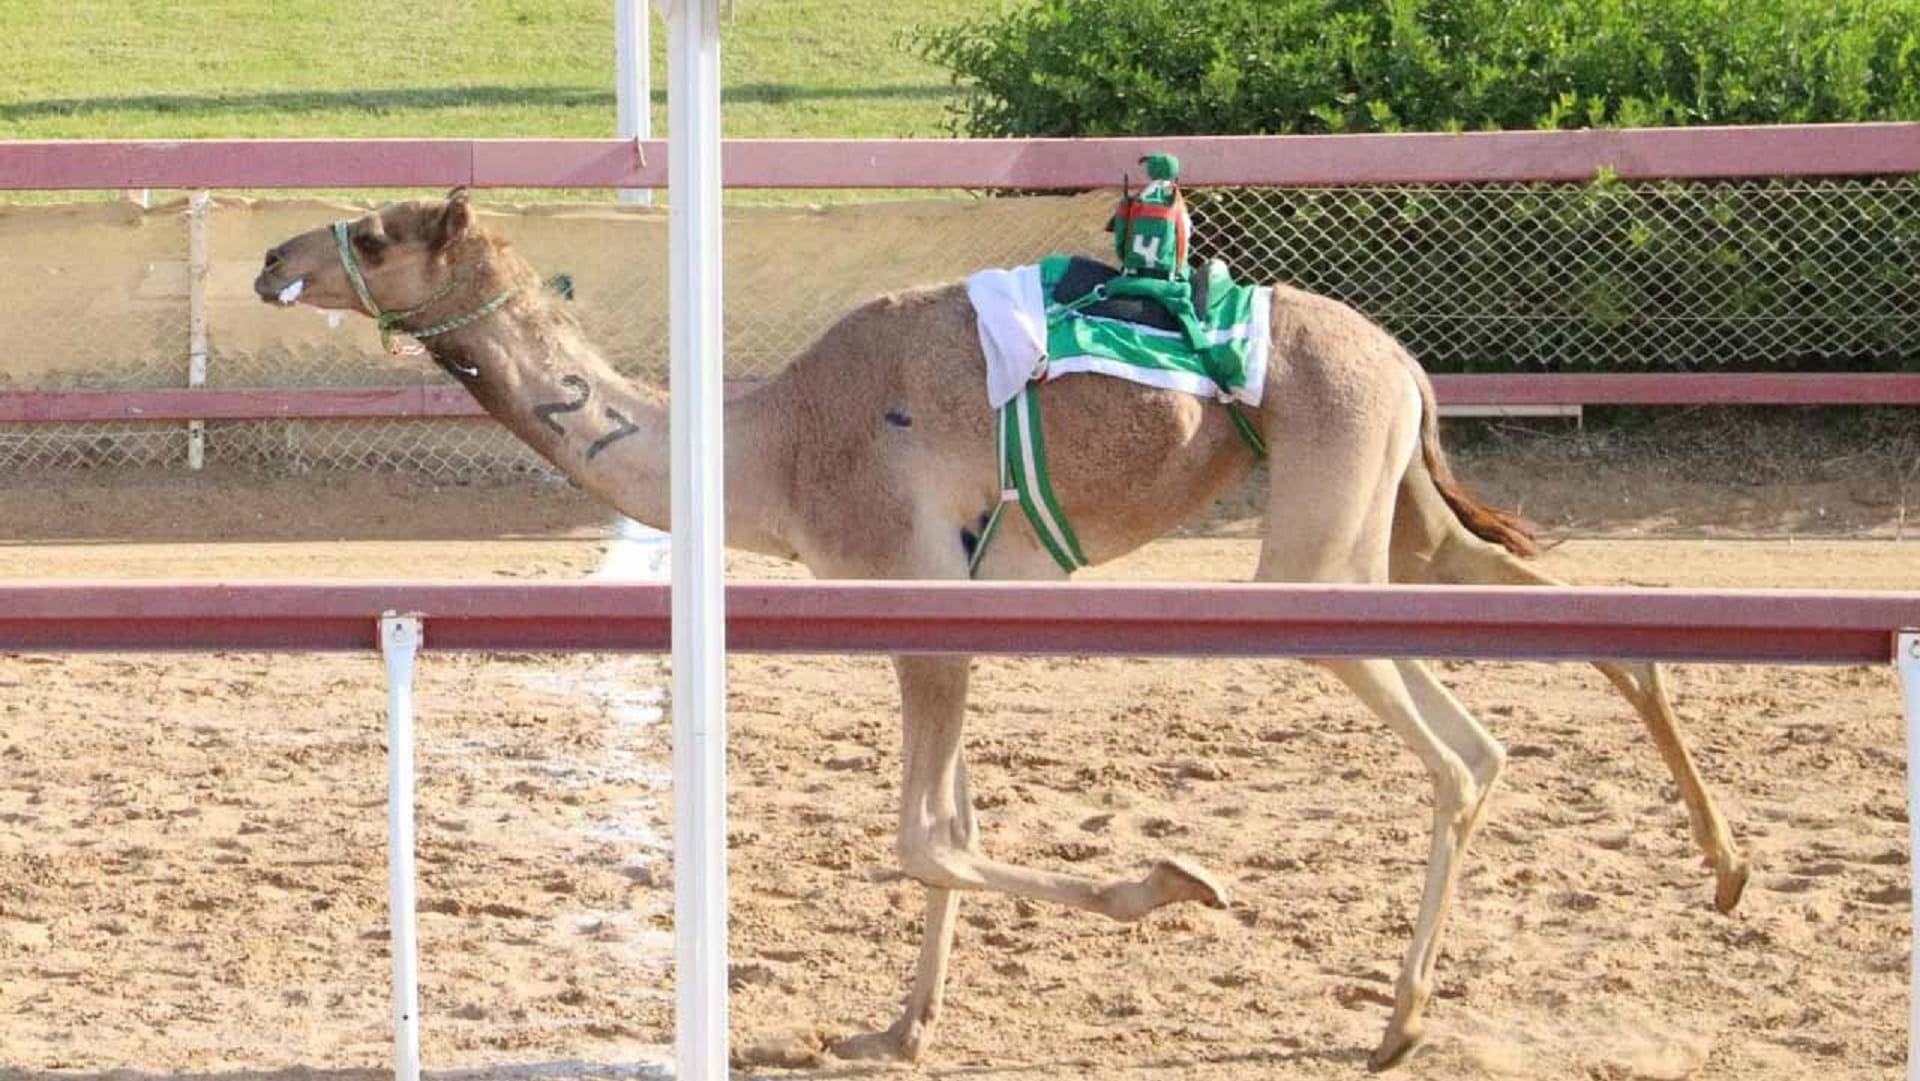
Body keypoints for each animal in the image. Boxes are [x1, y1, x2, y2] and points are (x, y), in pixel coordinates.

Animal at [254, 191, 1749, 1071]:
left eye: (375, 236)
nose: (273, 259)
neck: (766, 450)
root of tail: (1409, 362)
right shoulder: (950, 596)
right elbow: (951, 828)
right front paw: (908, 1017)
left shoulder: (909, 593)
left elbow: (926, 832)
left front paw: (1181, 882)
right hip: (1402, 513)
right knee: (1592, 628)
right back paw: (1726, 873)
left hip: (1325, 535)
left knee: (1465, 752)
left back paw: (1399, 1021)